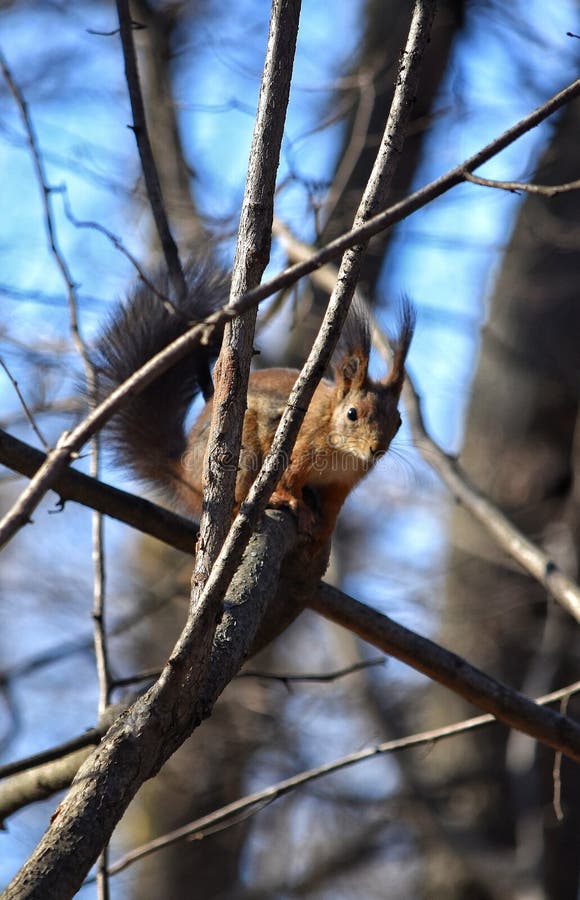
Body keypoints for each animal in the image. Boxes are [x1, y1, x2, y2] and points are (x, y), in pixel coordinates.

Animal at [94, 251, 415, 547]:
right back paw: (264, 502)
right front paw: (291, 501)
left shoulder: (341, 485)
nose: (376, 449)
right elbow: (288, 479)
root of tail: (185, 473)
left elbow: (332, 510)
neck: (344, 453)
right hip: (242, 454)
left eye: (399, 421)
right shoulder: (297, 447)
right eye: (352, 413)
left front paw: (324, 532)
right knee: (236, 500)